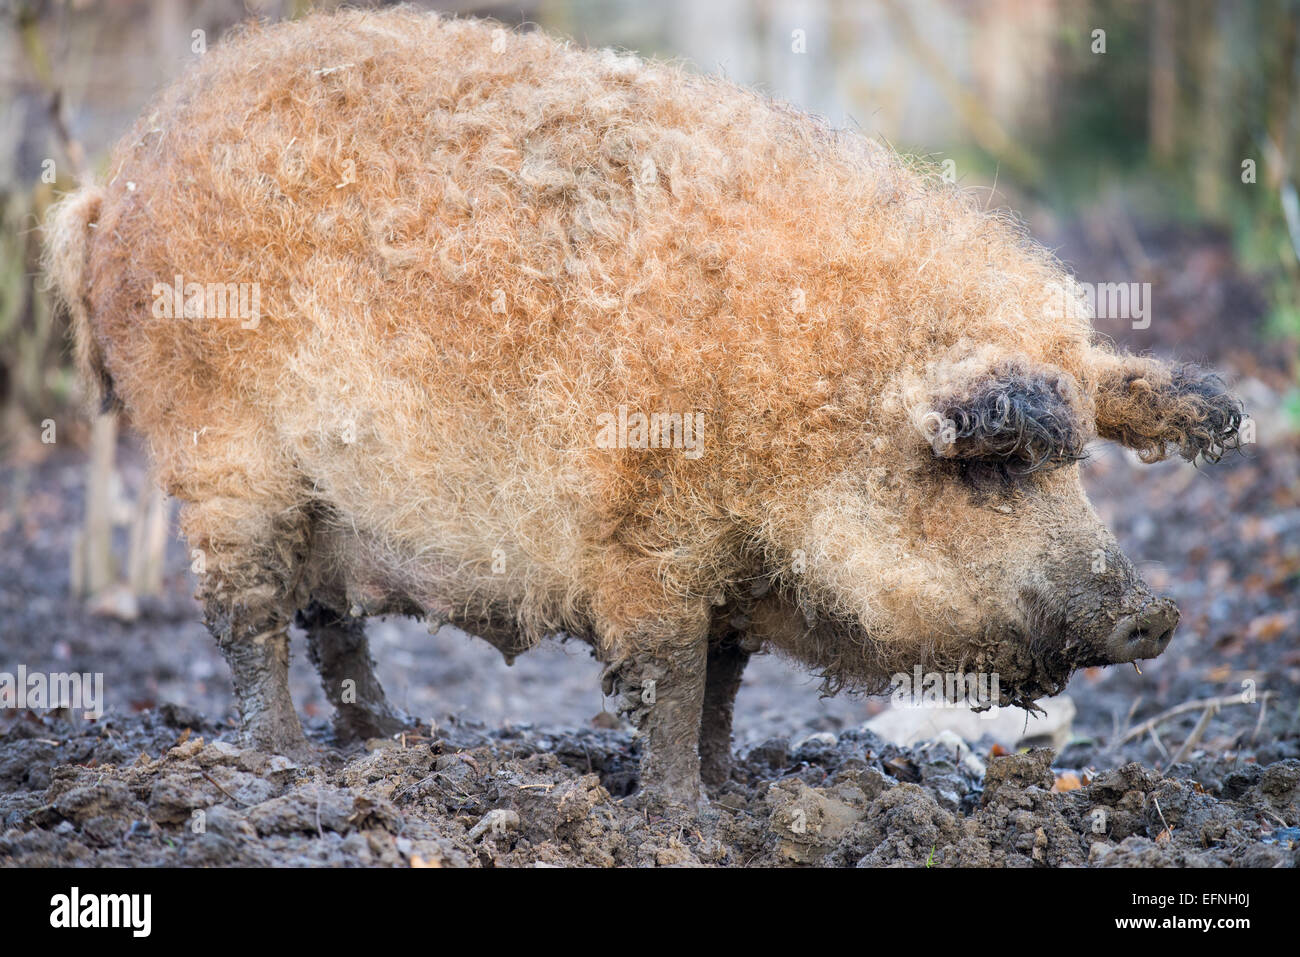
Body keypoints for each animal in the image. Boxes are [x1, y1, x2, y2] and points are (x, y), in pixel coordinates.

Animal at [44, 9, 1243, 805]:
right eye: (997, 468)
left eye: (1080, 465)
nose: (1151, 613)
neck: (803, 402)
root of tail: (112, 182)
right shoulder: (647, 538)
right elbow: (667, 676)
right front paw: (680, 819)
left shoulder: (731, 570)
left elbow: (723, 681)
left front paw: (729, 794)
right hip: (218, 447)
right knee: (246, 608)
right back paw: (286, 761)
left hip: (325, 490)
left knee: (328, 607)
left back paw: (391, 740)